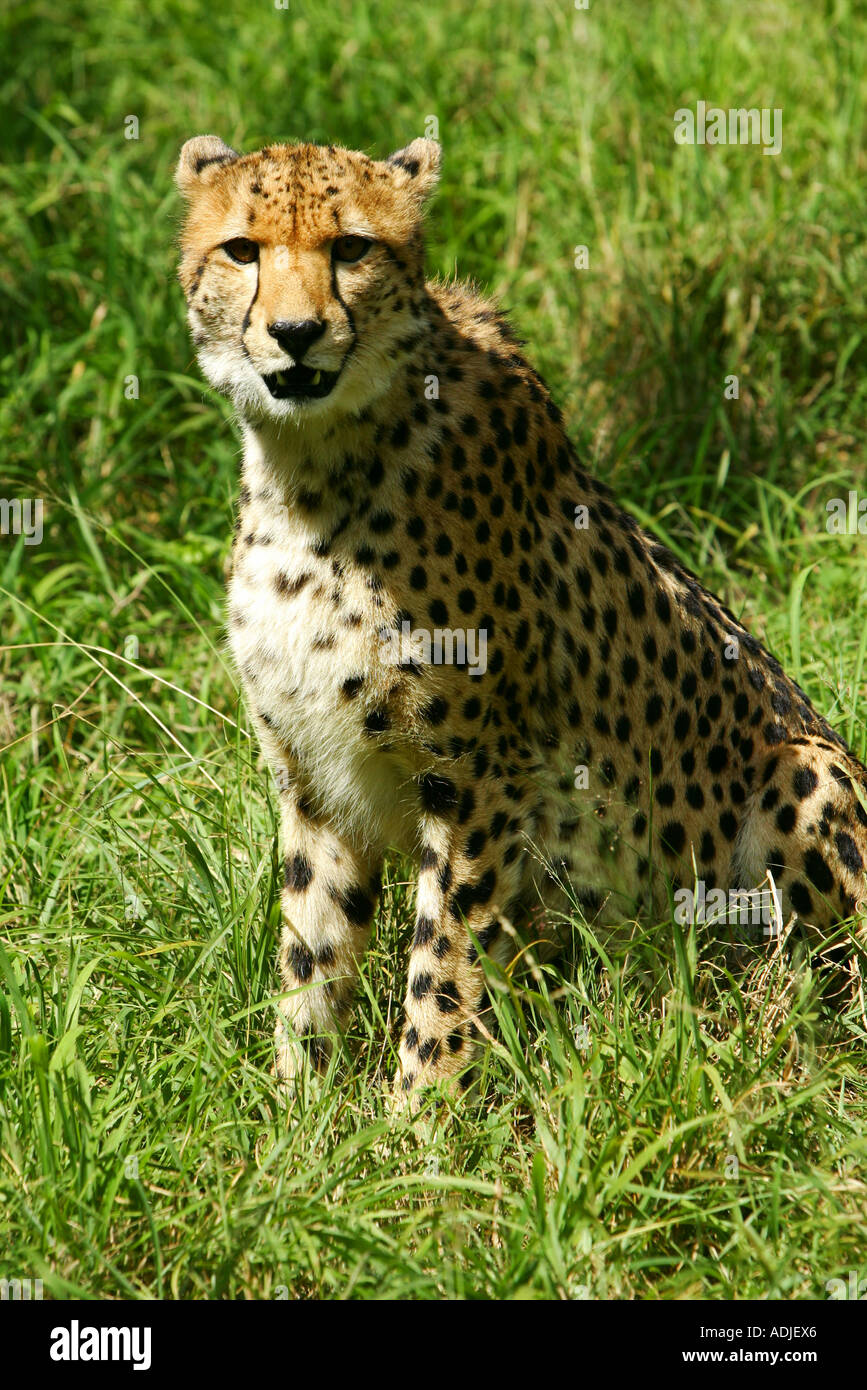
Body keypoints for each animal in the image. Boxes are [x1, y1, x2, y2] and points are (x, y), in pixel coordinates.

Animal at [175, 133, 867, 1102]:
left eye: (351, 247)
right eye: (241, 250)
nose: (296, 333)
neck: (311, 469)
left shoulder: (478, 779)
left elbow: (443, 962)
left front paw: (417, 1120)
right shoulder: (314, 779)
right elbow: (311, 954)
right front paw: (296, 1110)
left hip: (806, 769)